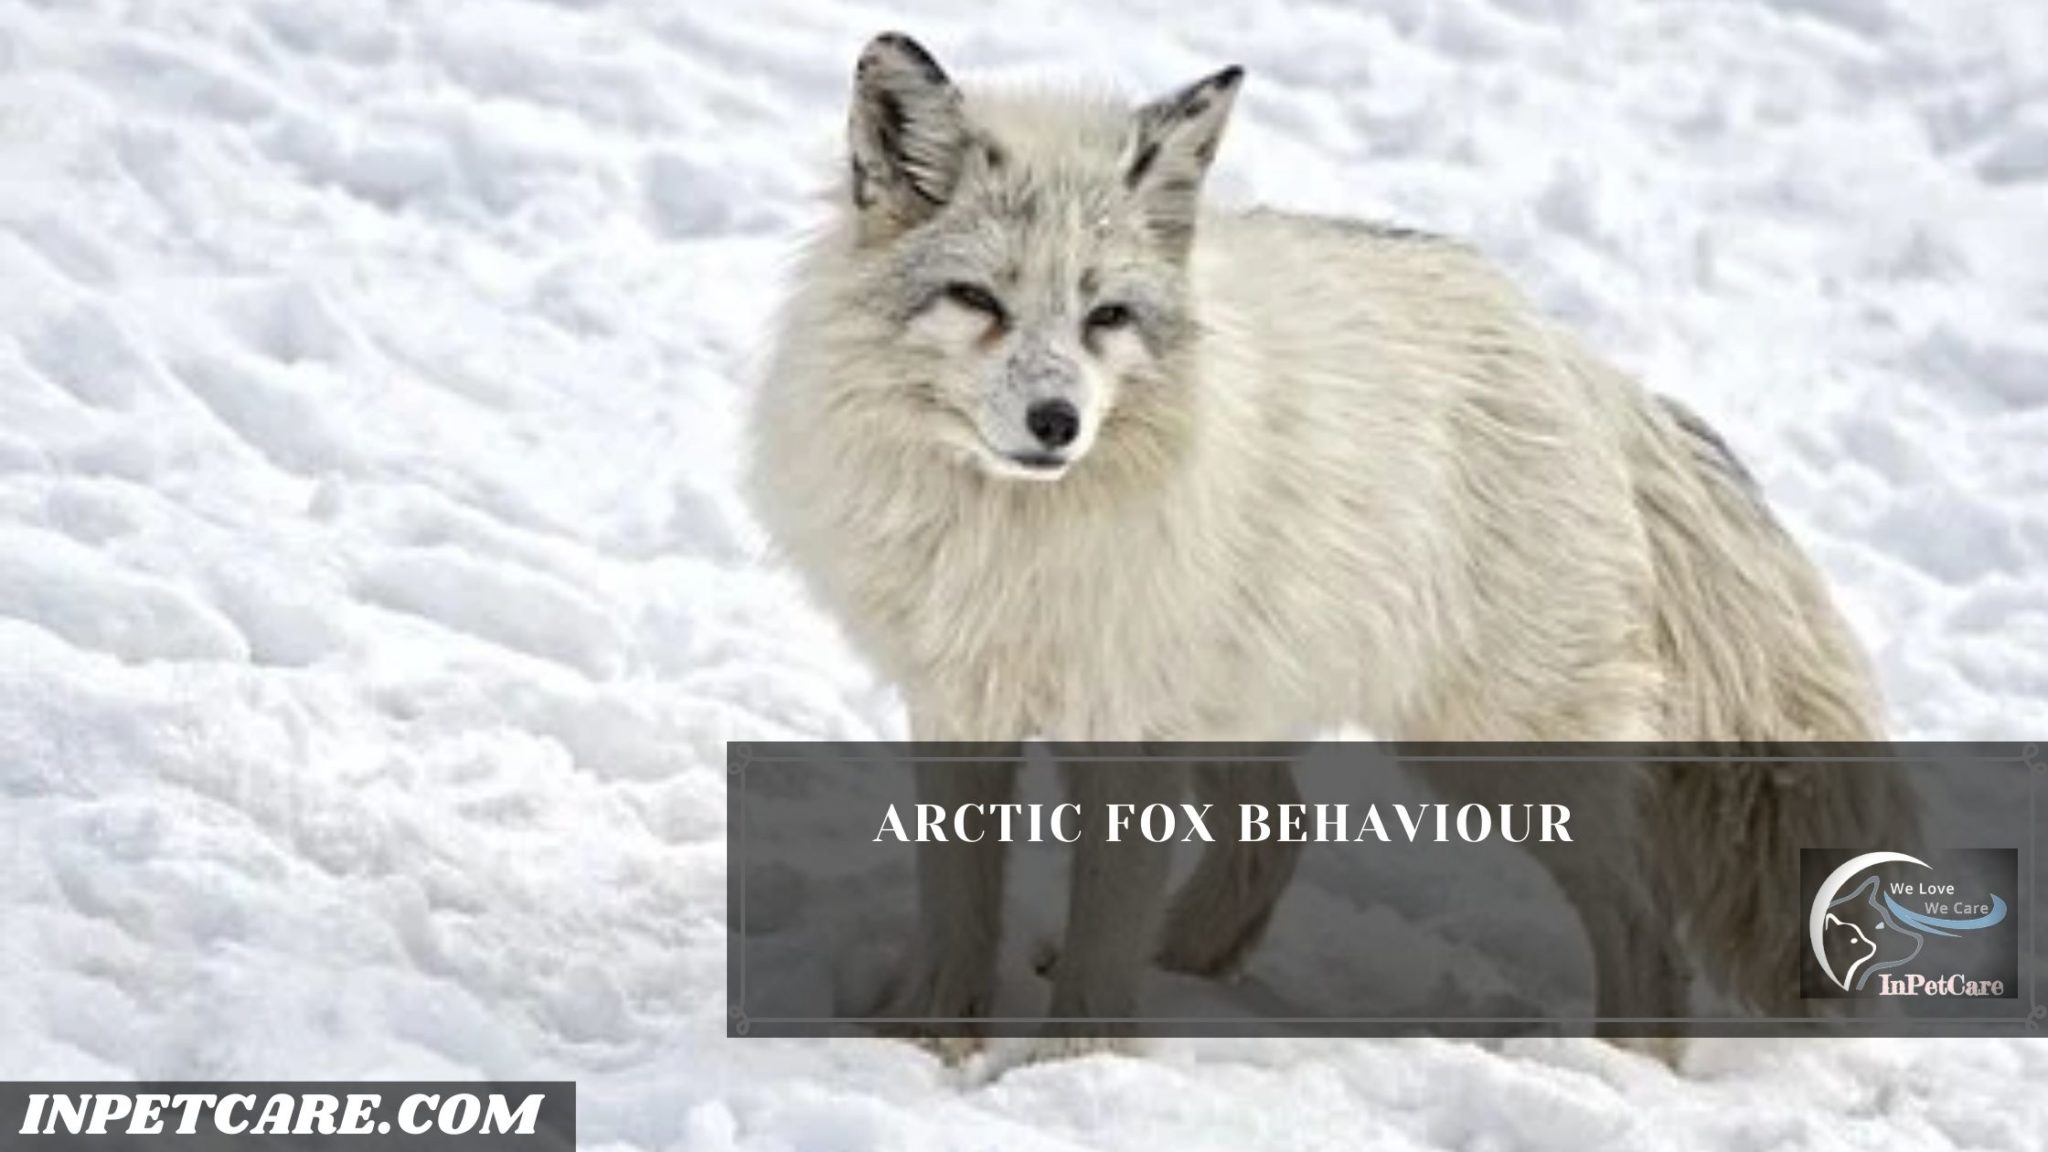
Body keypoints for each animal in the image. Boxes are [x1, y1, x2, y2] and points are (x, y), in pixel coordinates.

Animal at [745, 32, 1919, 1063]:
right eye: (978, 301)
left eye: (1105, 316)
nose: (1056, 423)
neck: (1018, 534)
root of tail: (1576, 360)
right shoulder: (960, 700)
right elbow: (961, 902)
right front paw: (928, 1039)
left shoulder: (1122, 718)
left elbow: (1099, 929)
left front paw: (1071, 1069)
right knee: (1279, 828)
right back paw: (1183, 969)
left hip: (1493, 746)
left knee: (1645, 928)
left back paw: (1626, 1071)